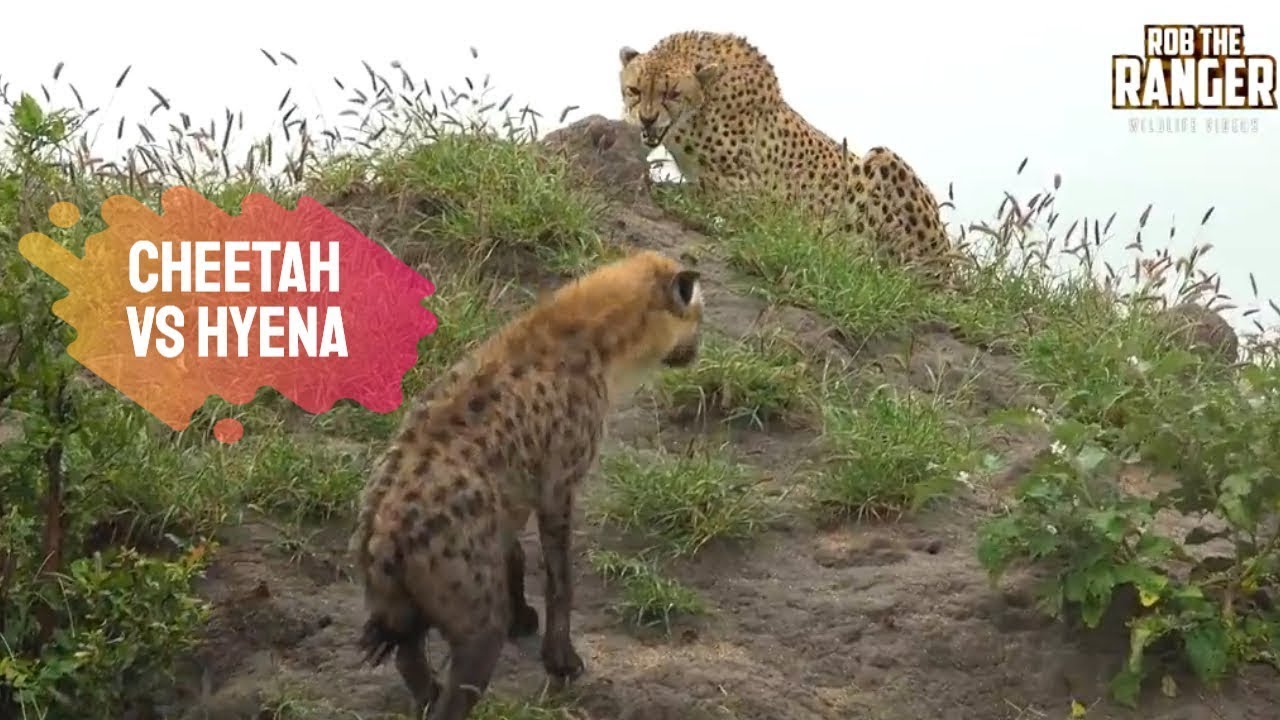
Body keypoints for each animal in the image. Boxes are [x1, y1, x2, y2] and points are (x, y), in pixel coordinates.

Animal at [349, 249, 705, 720]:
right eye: (700, 319)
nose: (696, 351)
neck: (598, 340)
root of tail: (384, 532)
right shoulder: (559, 479)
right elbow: (560, 576)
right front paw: (563, 660)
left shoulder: (508, 497)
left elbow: (514, 554)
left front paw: (525, 618)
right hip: (472, 606)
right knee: (464, 672)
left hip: (393, 593)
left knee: (409, 654)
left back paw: (425, 692)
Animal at [618, 30, 962, 285]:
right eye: (634, 90)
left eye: (672, 94)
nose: (647, 119)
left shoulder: (748, 191)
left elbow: (694, 190)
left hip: (882, 160)